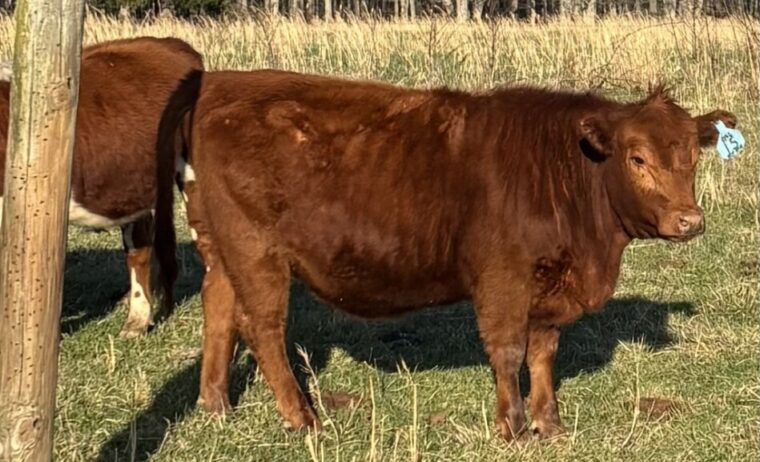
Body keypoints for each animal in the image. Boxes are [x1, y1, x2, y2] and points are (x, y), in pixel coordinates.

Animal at [153, 69, 737, 440]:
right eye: (637, 158)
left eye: (692, 155)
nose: (689, 221)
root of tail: (220, 82)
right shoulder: (504, 276)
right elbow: (508, 351)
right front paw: (513, 426)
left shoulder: (550, 285)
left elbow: (543, 353)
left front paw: (549, 423)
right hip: (255, 249)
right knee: (263, 327)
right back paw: (304, 419)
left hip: (219, 244)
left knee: (218, 307)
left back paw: (215, 404)